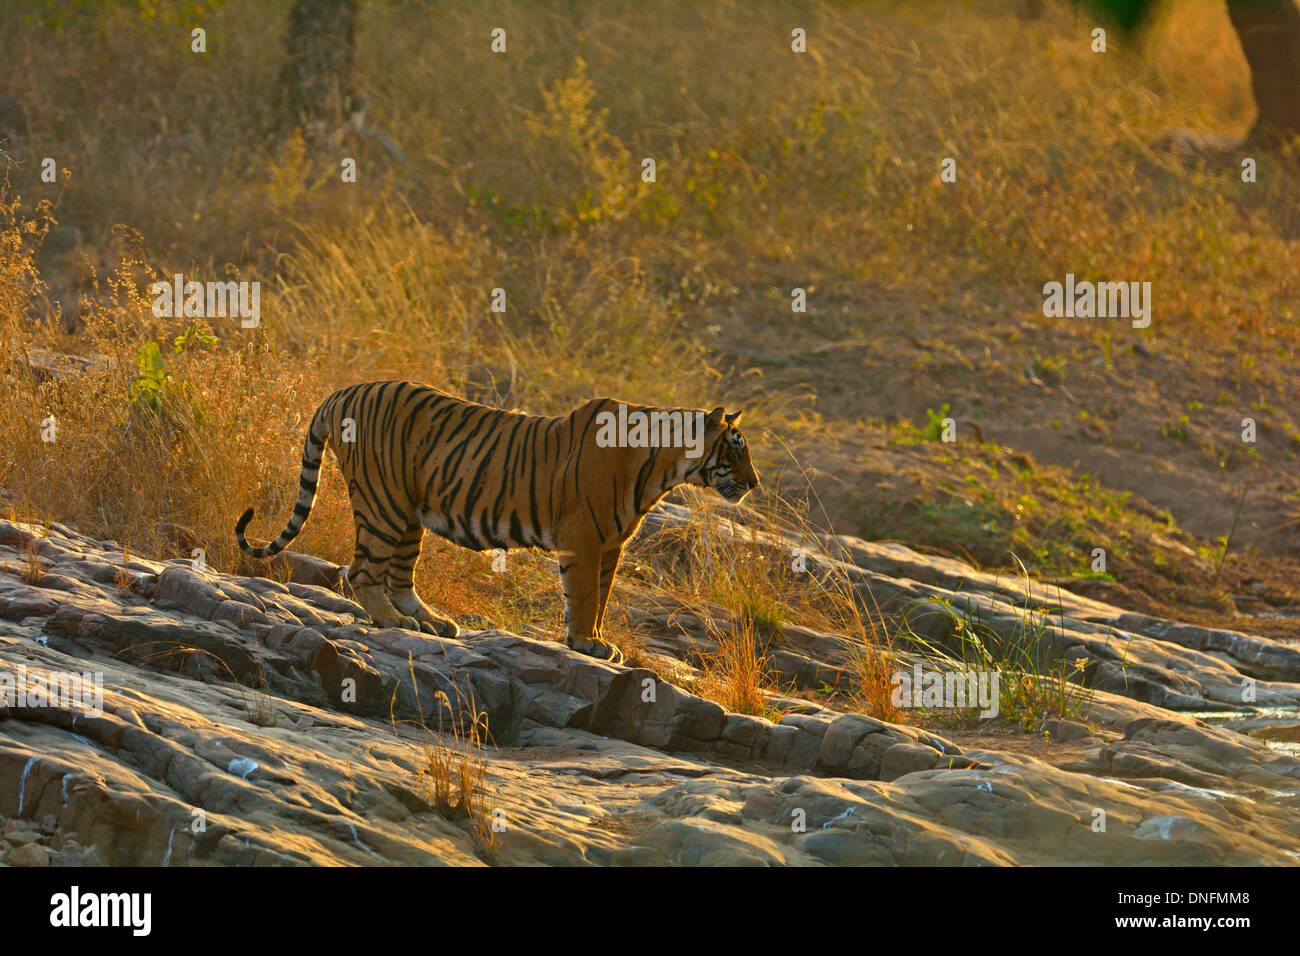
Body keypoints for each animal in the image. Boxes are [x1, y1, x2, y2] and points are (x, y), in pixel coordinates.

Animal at [236, 380, 759, 664]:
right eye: (736, 450)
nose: (754, 484)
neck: (664, 467)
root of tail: (343, 392)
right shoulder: (584, 538)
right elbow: (584, 597)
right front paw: (586, 643)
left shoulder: (612, 545)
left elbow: (602, 596)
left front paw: (596, 640)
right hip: (383, 503)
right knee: (361, 571)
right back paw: (392, 621)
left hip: (408, 513)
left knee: (399, 576)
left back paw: (433, 622)